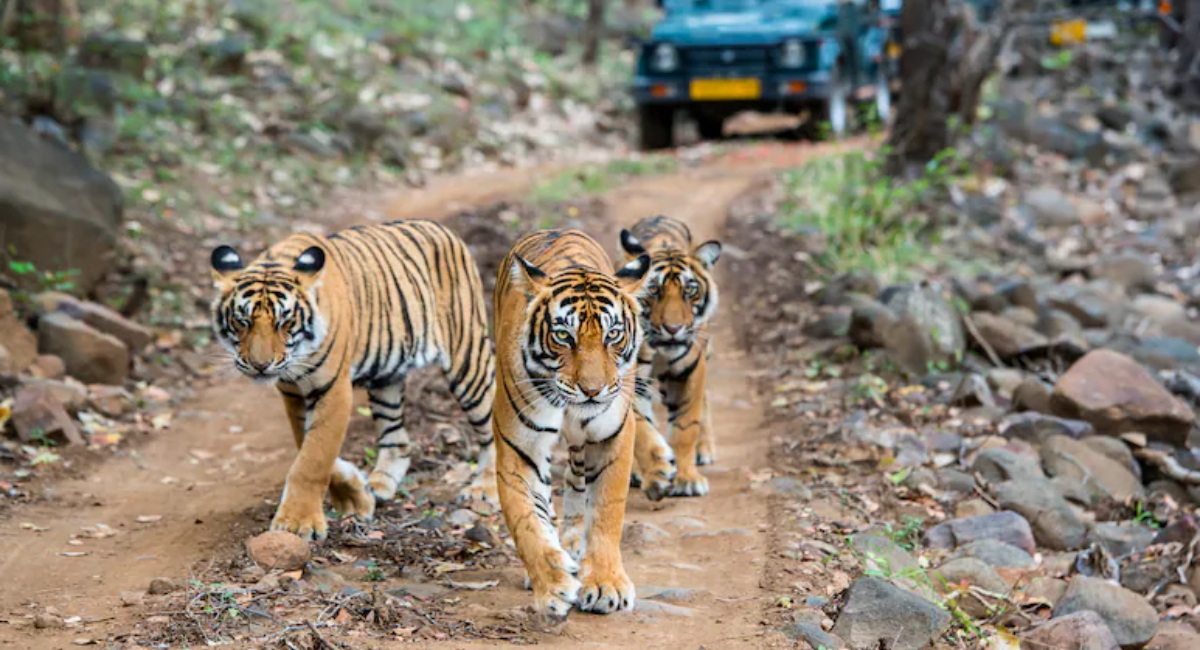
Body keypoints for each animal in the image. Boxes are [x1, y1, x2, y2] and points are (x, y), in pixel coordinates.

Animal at [209, 220, 497, 541]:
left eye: (285, 322)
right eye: (242, 321)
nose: (260, 365)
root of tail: (442, 228)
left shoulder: (333, 389)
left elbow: (314, 457)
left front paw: (298, 523)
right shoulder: (293, 393)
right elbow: (306, 445)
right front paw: (355, 496)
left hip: (468, 359)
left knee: (492, 426)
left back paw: (484, 489)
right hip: (387, 377)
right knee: (398, 439)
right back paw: (380, 485)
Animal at [492, 229, 656, 621]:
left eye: (613, 335)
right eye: (564, 336)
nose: (592, 391)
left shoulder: (612, 436)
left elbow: (606, 512)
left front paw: (606, 585)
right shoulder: (519, 447)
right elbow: (527, 521)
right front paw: (552, 586)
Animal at [618, 215, 722, 498]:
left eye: (690, 290)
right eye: (654, 290)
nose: (673, 329)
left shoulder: (690, 371)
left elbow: (686, 426)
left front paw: (688, 479)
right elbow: (641, 428)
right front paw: (657, 473)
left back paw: (704, 450)